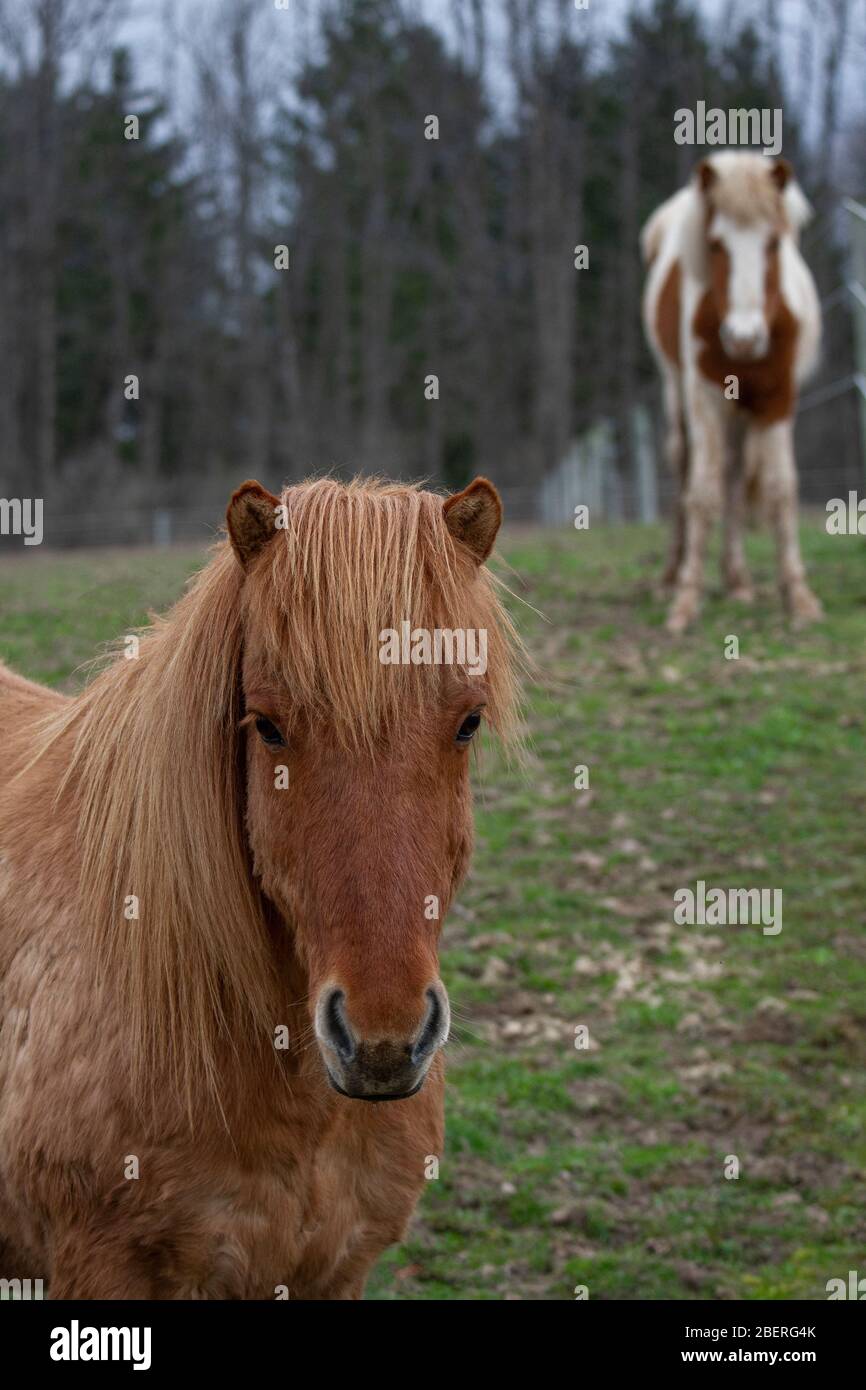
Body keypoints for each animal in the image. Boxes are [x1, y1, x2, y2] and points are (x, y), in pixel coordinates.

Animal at [641, 152, 822, 633]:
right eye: (717, 245)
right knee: (686, 469)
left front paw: (798, 597)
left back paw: (737, 579)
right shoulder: (703, 398)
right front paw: (686, 599)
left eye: (774, 243)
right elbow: (702, 492)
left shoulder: (778, 399)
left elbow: (779, 488)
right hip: (677, 396)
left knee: (737, 475)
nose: (743, 338)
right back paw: (671, 575)